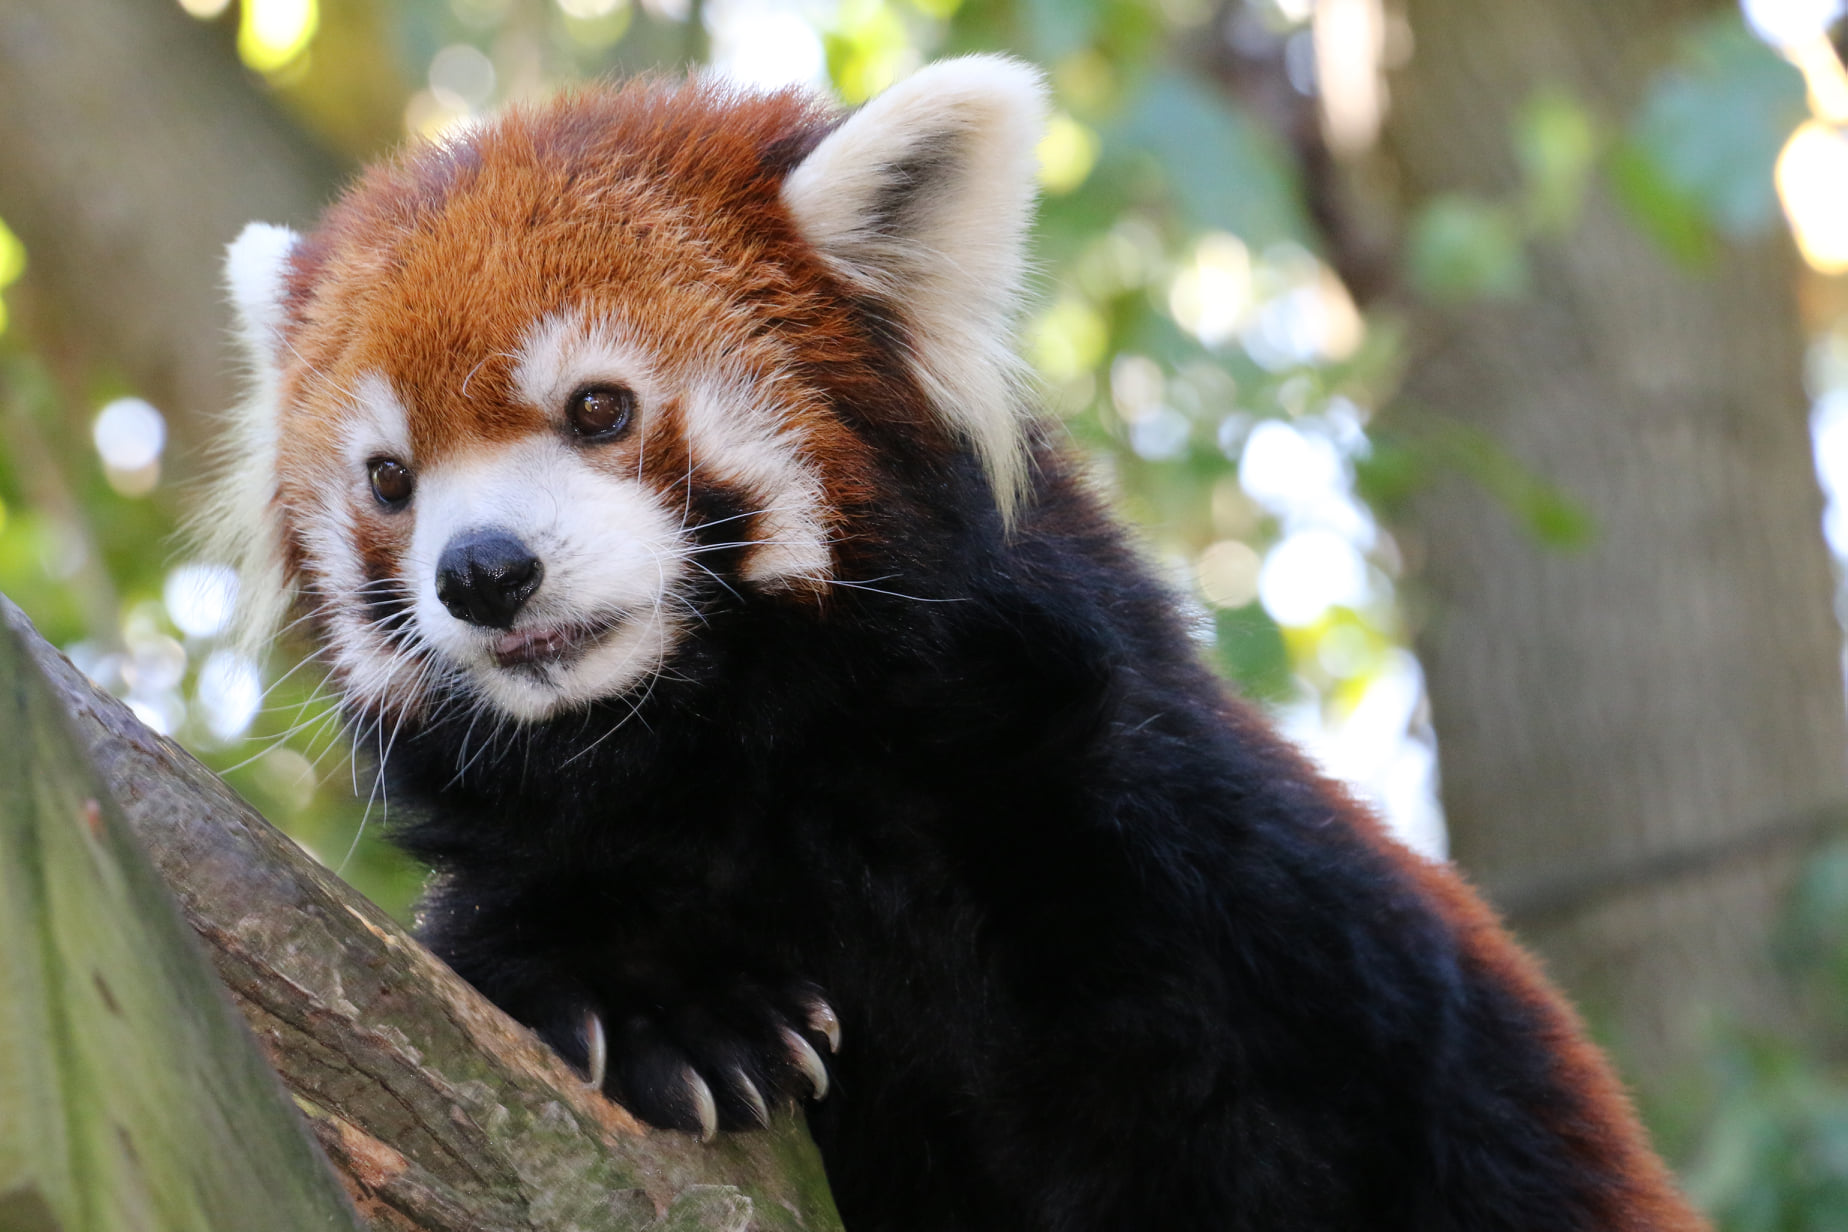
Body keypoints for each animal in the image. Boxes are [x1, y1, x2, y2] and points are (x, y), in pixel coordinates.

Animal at [201, 55, 1706, 1231]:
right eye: (390, 480)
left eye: (597, 408)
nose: (484, 573)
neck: (734, 755)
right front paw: (662, 1004)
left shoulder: (1177, 856)